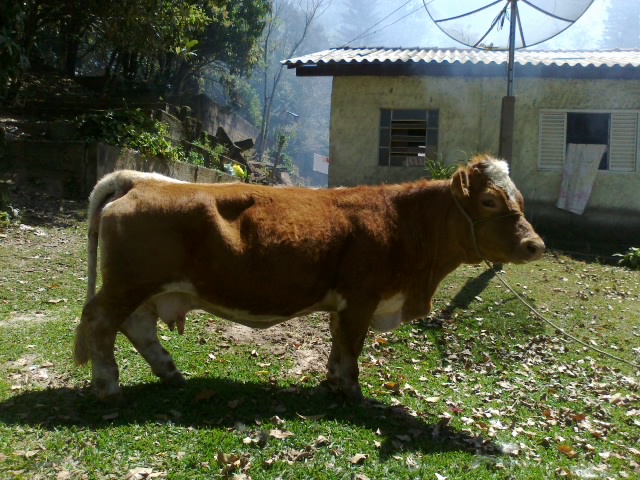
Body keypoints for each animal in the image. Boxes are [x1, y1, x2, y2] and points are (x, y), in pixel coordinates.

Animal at [74, 154, 545, 402]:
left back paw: (170, 372)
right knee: (101, 321)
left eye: (520, 199)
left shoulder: (347, 303)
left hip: (144, 287)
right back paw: (107, 384)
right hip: (128, 284)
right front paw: (351, 390)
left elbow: (339, 342)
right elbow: (352, 345)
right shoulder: (361, 298)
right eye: (489, 200)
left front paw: (333, 380)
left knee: (136, 326)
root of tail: (140, 178)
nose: (535, 244)